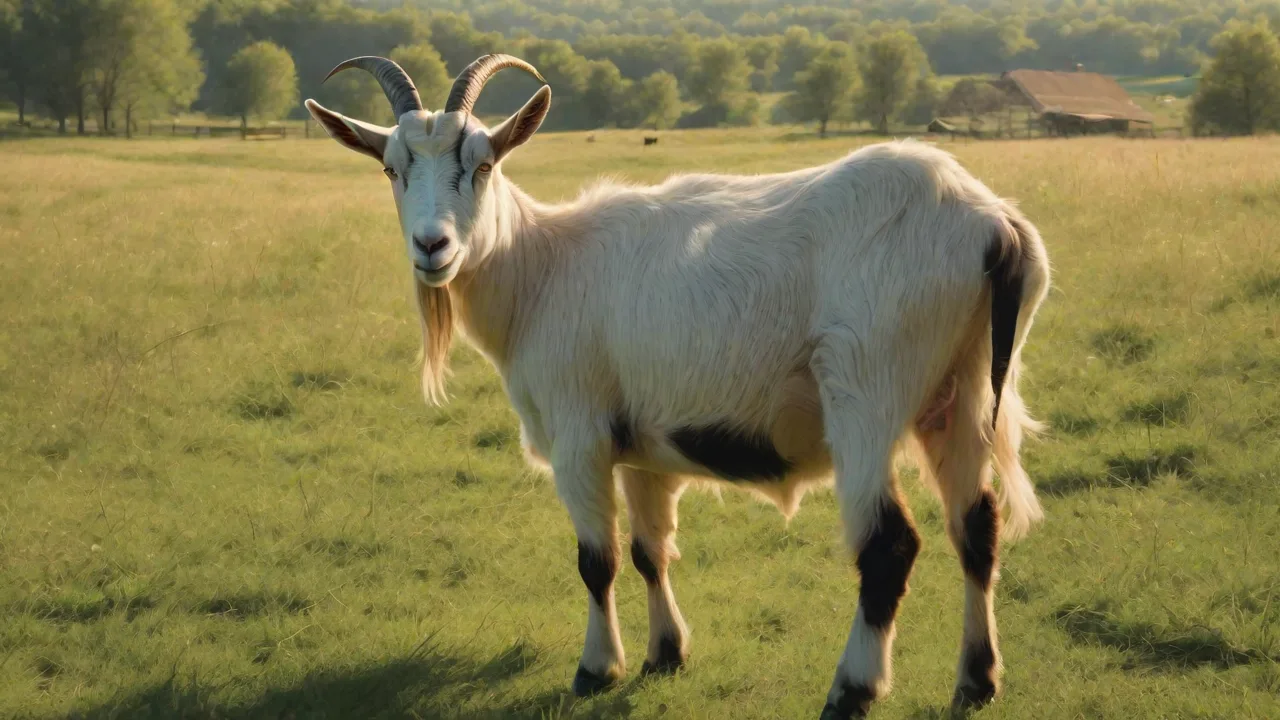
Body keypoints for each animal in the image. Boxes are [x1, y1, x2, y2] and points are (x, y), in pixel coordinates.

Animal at [304, 54, 1051, 718]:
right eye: (392, 168)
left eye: (482, 164)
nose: (433, 247)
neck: (543, 268)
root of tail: (994, 225)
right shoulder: (639, 445)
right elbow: (648, 551)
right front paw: (665, 654)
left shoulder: (579, 436)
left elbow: (597, 559)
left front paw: (596, 668)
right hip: (965, 394)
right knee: (975, 527)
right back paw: (977, 681)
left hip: (867, 392)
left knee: (889, 545)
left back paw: (852, 690)